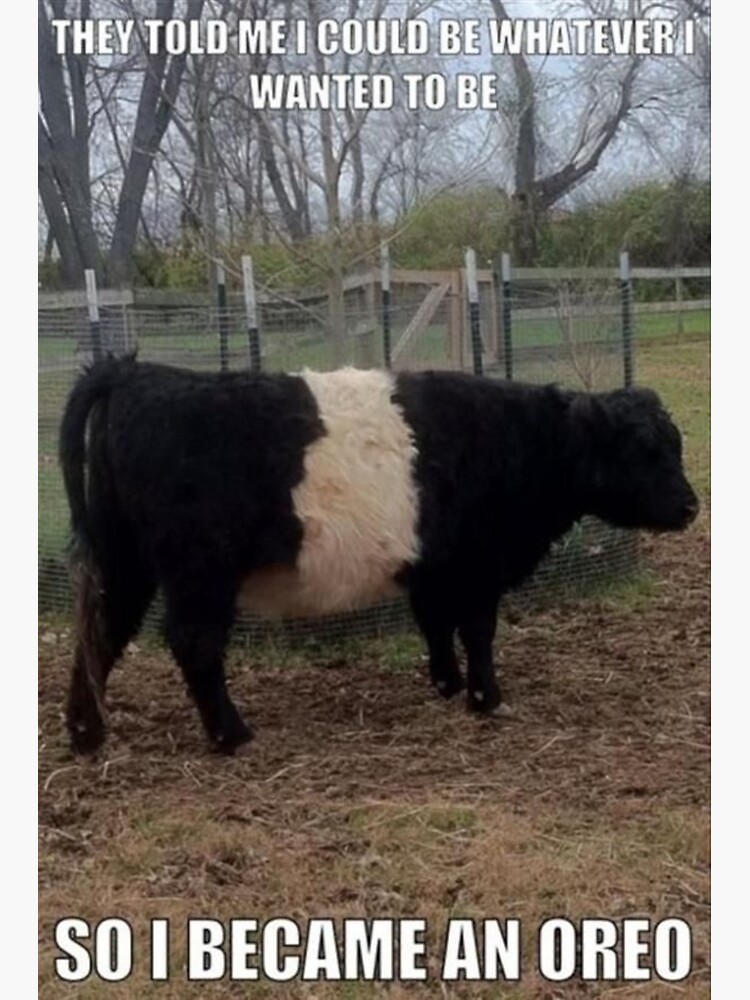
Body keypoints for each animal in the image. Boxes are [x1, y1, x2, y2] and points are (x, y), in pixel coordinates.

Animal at [59, 357, 698, 755]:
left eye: (676, 442)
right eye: (645, 449)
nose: (692, 506)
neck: (522, 439)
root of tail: (135, 371)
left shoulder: (434, 567)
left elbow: (436, 625)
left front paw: (446, 685)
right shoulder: (479, 566)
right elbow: (478, 630)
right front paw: (486, 698)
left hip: (124, 559)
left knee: (100, 633)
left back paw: (86, 733)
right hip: (199, 571)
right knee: (192, 644)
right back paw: (231, 735)